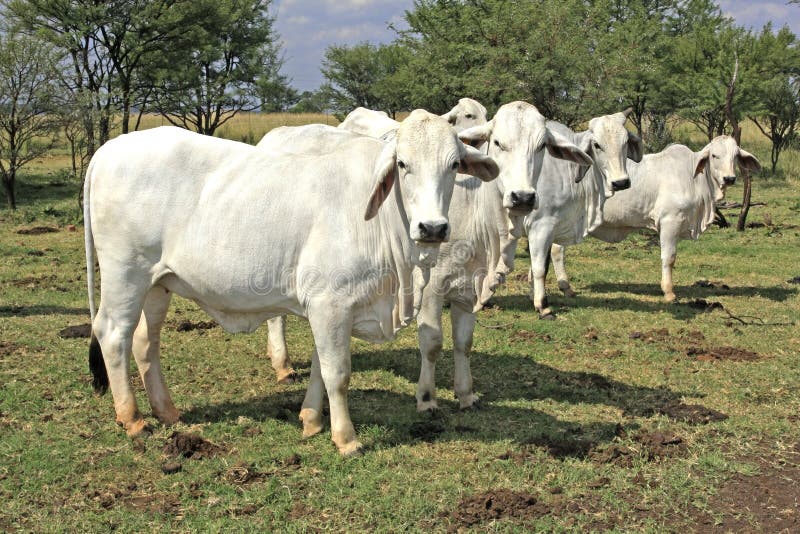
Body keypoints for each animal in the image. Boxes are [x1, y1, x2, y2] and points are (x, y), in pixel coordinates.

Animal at [83, 111, 500, 456]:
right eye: (402, 163)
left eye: (453, 165)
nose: (433, 228)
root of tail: (108, 150)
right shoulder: (330, 303)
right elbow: (338, 374)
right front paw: (346, 438)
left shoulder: (332, 307)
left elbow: (319, 366)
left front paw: (312, 419)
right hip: (125, 273)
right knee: (113, 333)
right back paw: (133, 419)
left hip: (158, 284)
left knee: (145, 340)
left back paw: (167, 411)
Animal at [522, 110, 644, 318]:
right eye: (597, 145)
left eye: (626, 141)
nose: (621, 182)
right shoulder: (541, 225)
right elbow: (540, 267)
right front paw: (542, 306)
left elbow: (545, 260)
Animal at [550, 135, 761, 302]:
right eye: (714, 156)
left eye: (735, 156)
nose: (729, 178)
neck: (694, 178)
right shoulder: (669, 222)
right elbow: (669, 258)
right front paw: (669, 292)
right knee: (556, 250)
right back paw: (566, 287)